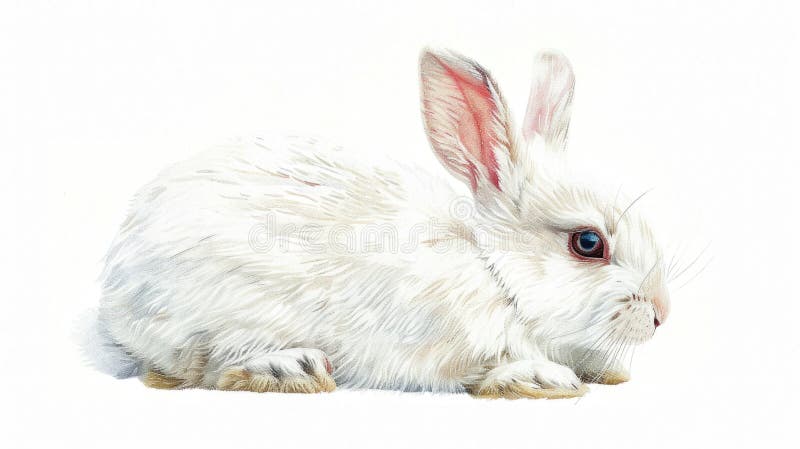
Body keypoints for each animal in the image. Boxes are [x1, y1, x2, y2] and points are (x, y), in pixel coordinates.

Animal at [92, 48, 670, 399]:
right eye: (588, 243)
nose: (662, 316)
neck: (494, 271)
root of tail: (114, 292)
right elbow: (481, 372)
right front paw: (540, 378)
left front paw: (610, 373)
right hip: (209, 316)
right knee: (203, 368)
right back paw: (289, 367)